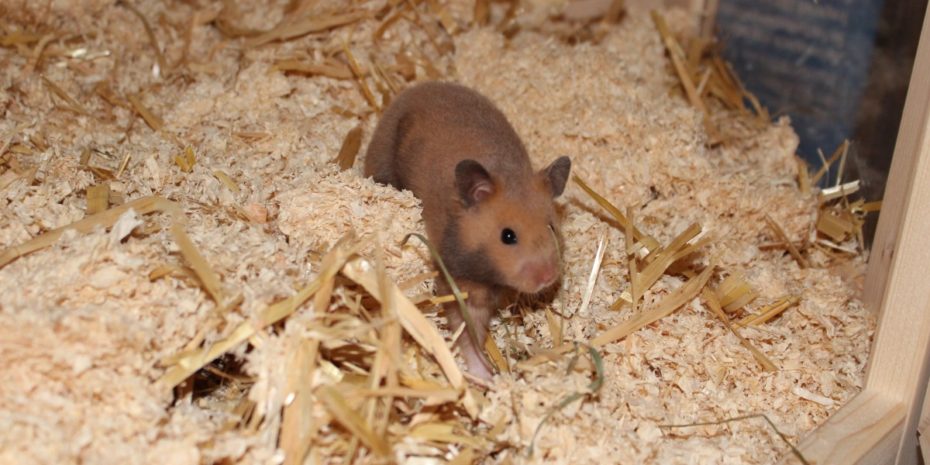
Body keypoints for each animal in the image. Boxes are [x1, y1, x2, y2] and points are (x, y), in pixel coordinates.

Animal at [364, 81, 571, 380]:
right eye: (508, 236)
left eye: (552, 227)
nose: (546, 277)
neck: (492, 275)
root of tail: (419, 87)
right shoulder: (459, 283)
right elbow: (467, 331)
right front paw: (485, 375)